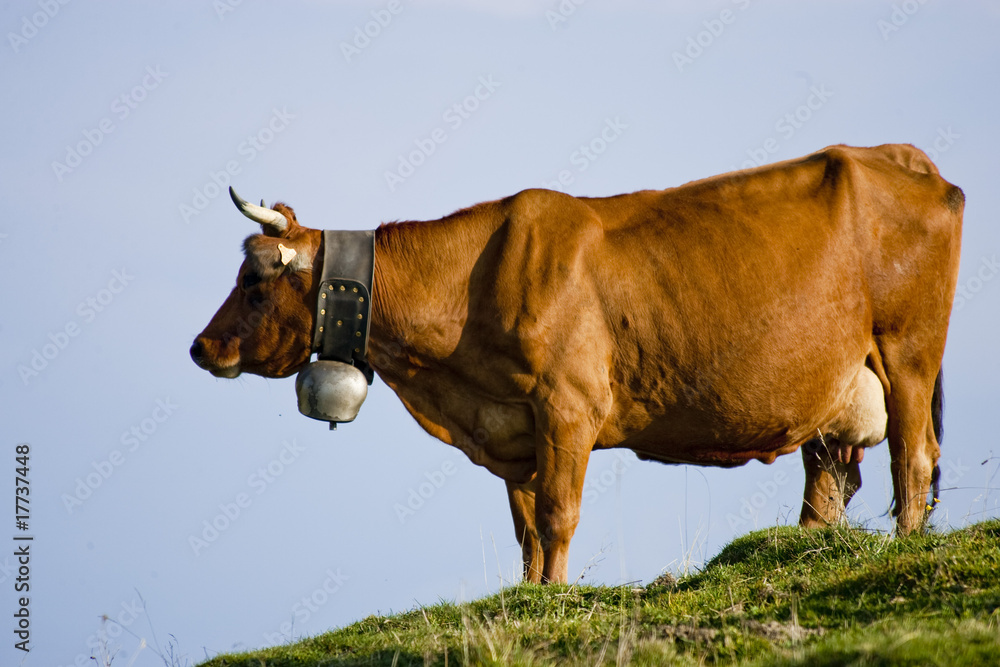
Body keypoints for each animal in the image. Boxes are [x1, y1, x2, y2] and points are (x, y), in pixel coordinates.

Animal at [190, 144, 963, 584]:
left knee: (914, 454)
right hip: (838, 387)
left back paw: (905, 545)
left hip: (909, 351)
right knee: (829, 479)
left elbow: (559, 514)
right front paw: (530, 594)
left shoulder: (569, 406)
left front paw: (558, 593)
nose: (201, 346)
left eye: (254, 278)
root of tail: (899, 155)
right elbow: (526, 524)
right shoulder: (514, 423)